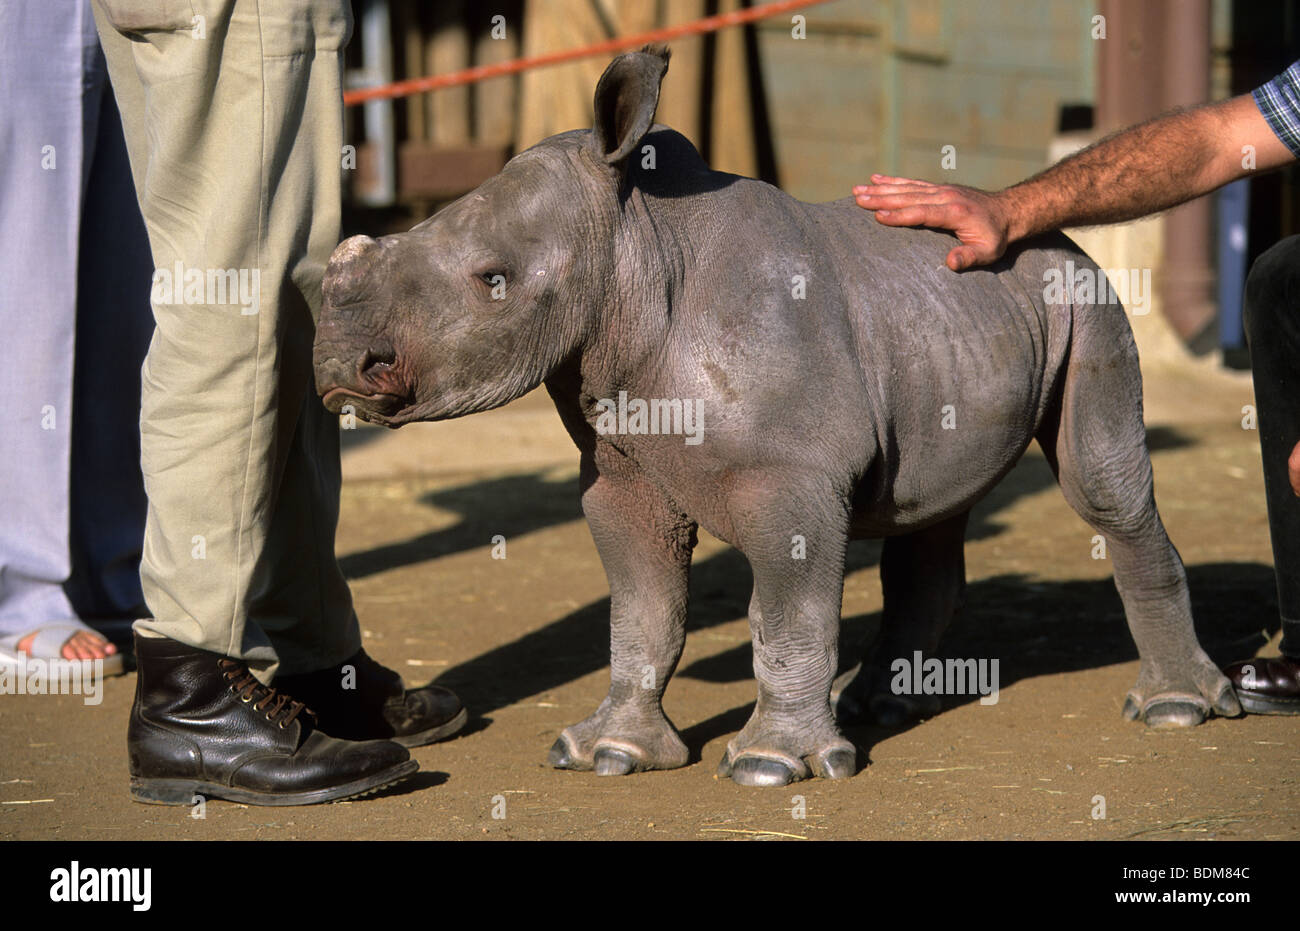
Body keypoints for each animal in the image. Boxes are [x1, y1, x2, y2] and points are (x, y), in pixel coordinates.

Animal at [313, 45, 1240, 787]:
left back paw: (1175, 708)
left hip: (1085, 297)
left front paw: (769, 765)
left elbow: (787, 613)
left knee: (1103, 491)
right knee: (929, 507)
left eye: (494, 282)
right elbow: (643, 608)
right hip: (963, 314)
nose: (337, 368)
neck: (636, 246)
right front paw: (607, 753)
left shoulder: (791, 475)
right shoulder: (620, 469)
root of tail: (1049, 230)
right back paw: (880, 708)